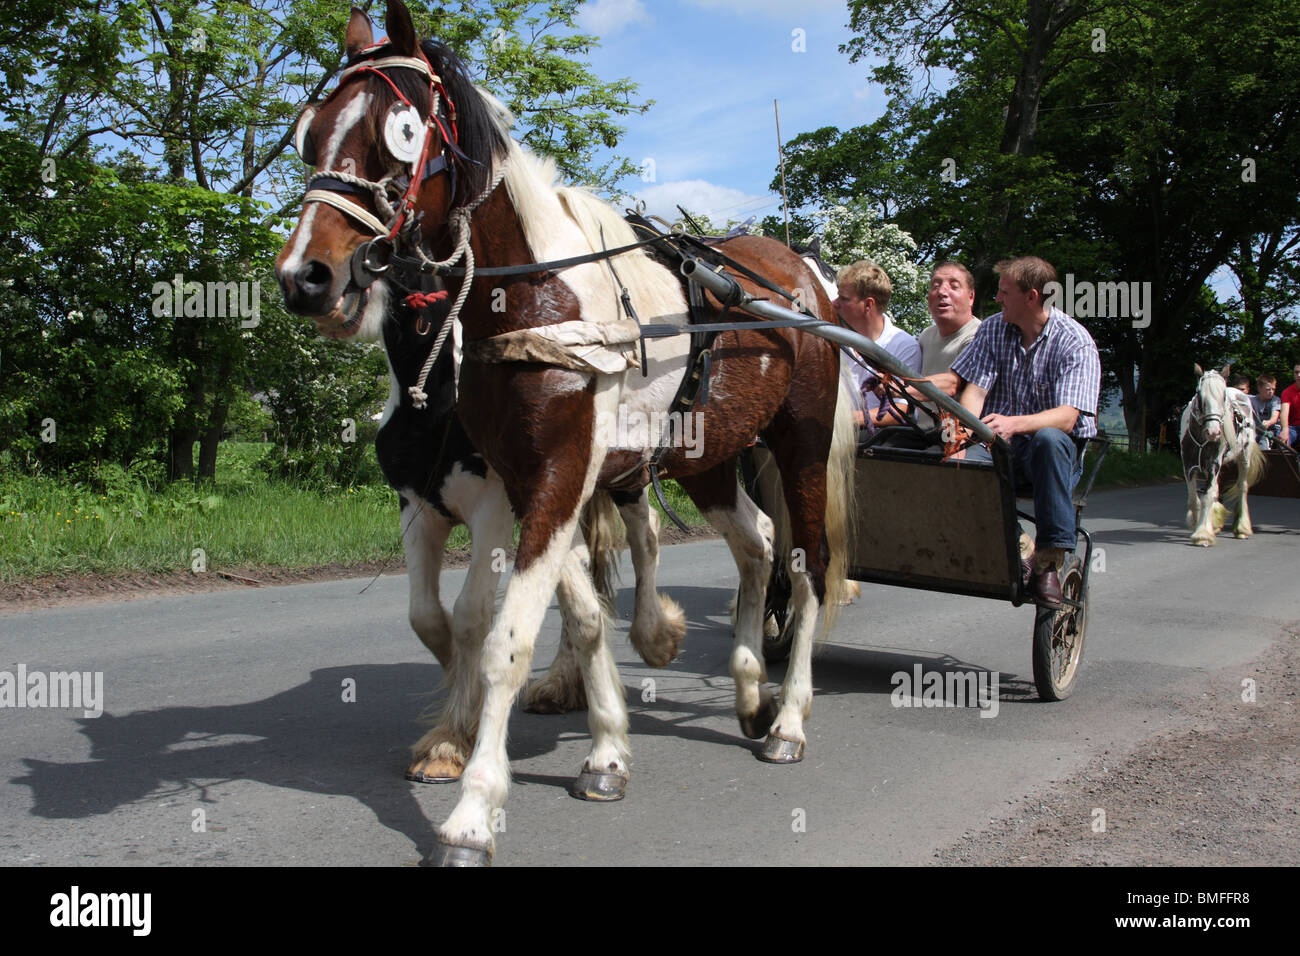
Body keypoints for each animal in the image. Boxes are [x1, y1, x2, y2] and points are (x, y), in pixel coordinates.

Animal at [274, 1, 856, 866]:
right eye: (309, 134)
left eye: (400, 131)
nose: (306, 277)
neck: (540, 301)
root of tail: (803, 275)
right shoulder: (535, 483)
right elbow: (579, 619)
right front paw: (606, 750)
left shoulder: (549, 480)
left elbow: (506, 640)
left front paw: (474, 810)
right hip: (706, 458)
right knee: (755, 545)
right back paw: (752, 686)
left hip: (800, 445)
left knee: (808, 564)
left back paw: (788, 717)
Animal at [1181, 364, 1264, 546]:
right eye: (1199, 395)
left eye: (1223, 396)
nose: (1213, 432)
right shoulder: (1189, 465)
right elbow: (1193, 499)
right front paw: (1197, 524)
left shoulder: (1213, 464)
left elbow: (1208, 495)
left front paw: (1203, 535)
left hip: (1244, 458)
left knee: (1242, 487)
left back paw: (1242, 529)